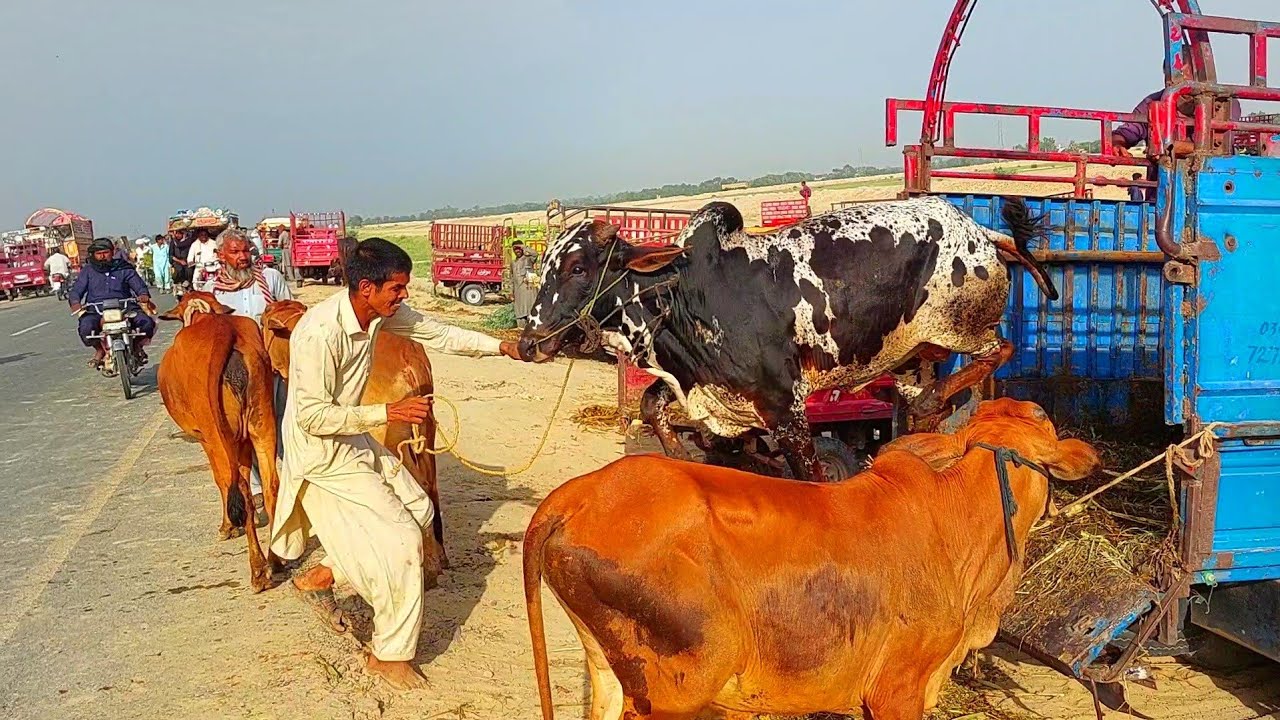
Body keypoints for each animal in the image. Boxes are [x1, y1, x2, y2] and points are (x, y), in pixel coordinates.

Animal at [156, 292, 281, 592]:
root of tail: (225, 331)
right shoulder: (243, 441)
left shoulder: (205, 437)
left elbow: (222, 482)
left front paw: (227, 527)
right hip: (262, 422)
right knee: (270, 485)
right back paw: (276, 559)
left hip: (215, 433)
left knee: (238, 490)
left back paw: (258, 570)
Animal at [517, 196, 1058, 482]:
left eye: (578, 267)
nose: (527, 342)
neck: (684, 294)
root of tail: (982, 231)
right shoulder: (704, 391)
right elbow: (652, 406)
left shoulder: (786, 408)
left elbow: (814, 478)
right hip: (920, 348)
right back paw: (925, 409)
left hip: (959, 327)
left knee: (1001, 349)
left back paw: (929, 400)